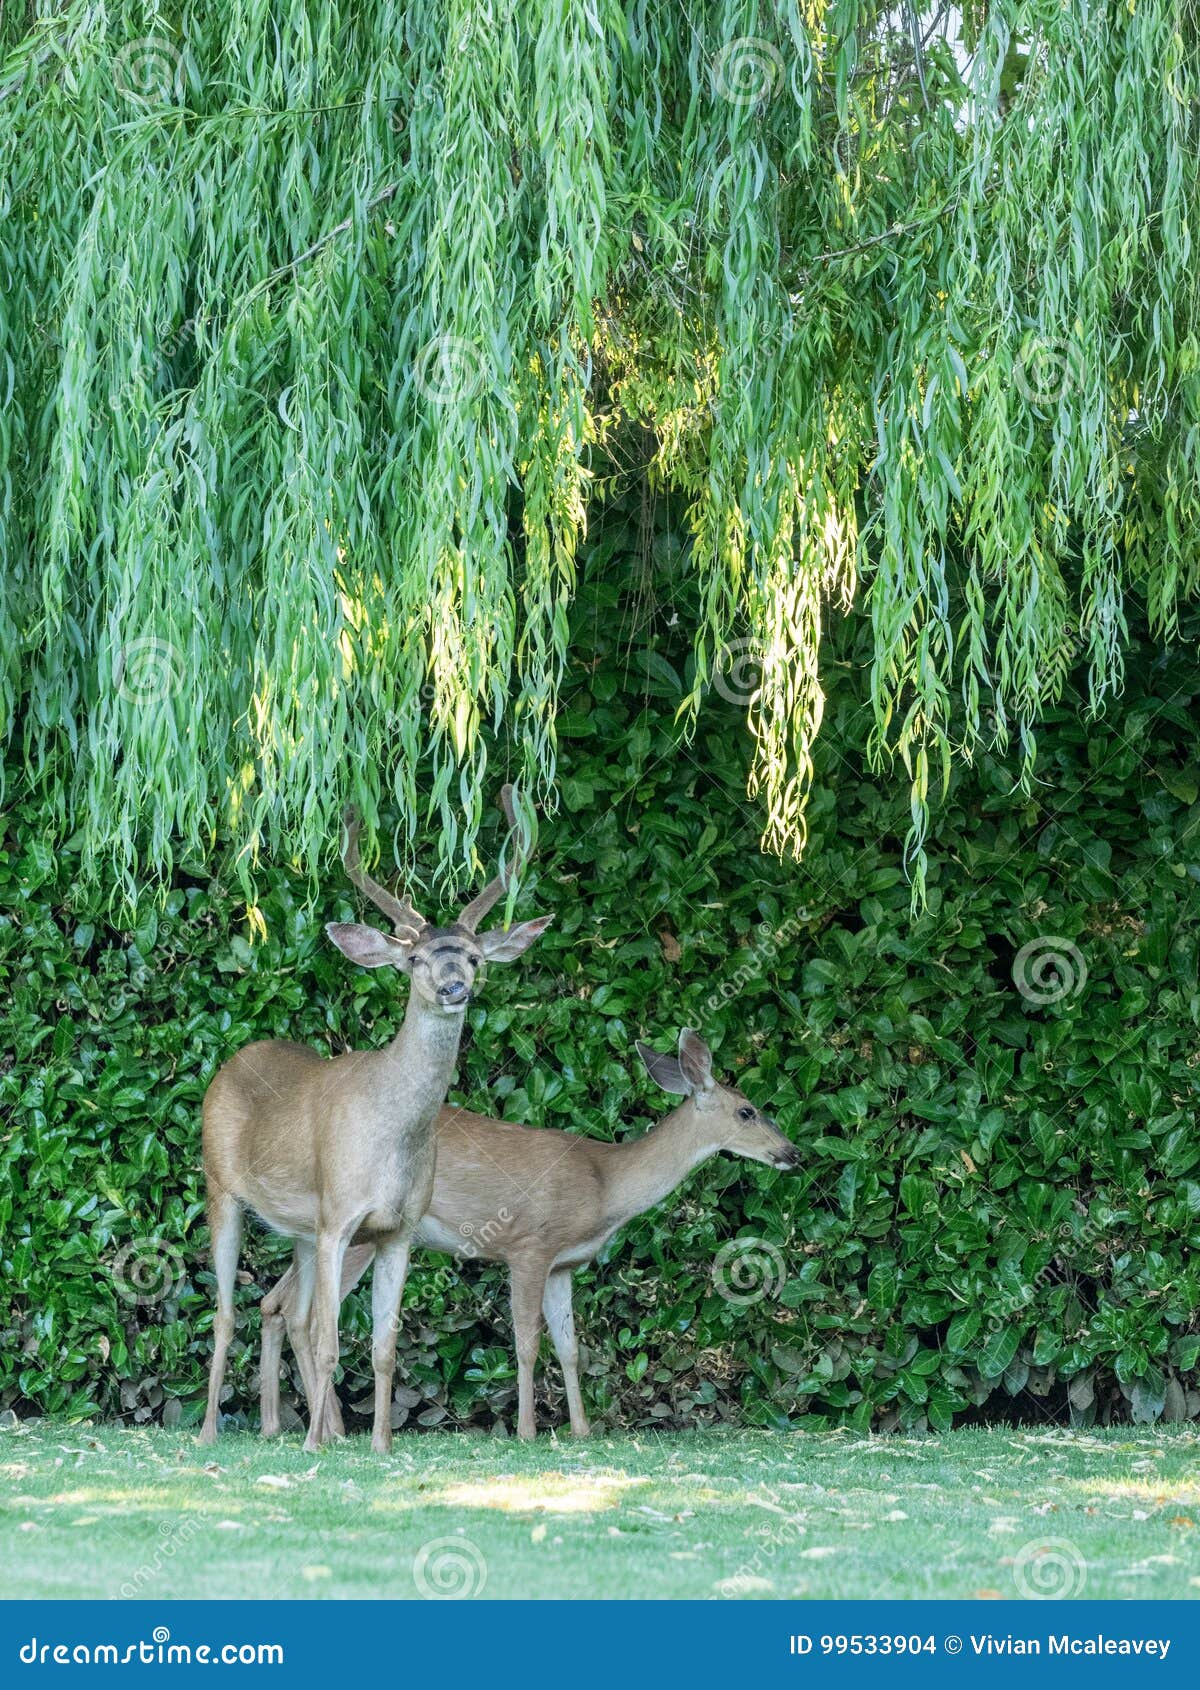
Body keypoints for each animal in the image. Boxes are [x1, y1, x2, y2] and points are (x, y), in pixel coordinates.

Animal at [199, 788, 552, 1454]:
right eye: (413, 959)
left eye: (473, 956)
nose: (454, 986)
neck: (394, 1139)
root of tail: (232, 1060)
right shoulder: (340, 1217)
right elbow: (331, 1340)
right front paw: (315, 1445)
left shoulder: (398, 1229)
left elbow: (384, 1347)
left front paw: (380, 1445)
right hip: (221, 1188)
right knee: (230, 1311)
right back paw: (213, 1432)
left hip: (300, 1229)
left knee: (284, 1309)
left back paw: (289, 1428)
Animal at [256, 1029, 800, 1442]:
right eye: (748, 1111)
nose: (793, 1152)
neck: (606, 1185)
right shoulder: (529, 1246)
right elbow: (527, 1345)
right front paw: (526, 1431)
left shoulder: (564, 1264)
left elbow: (570, 1348)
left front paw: (581, 1430)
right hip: (360, 1233)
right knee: (299, 1309)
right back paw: (328, 1431)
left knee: (275, 1301)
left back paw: (286, 1427)